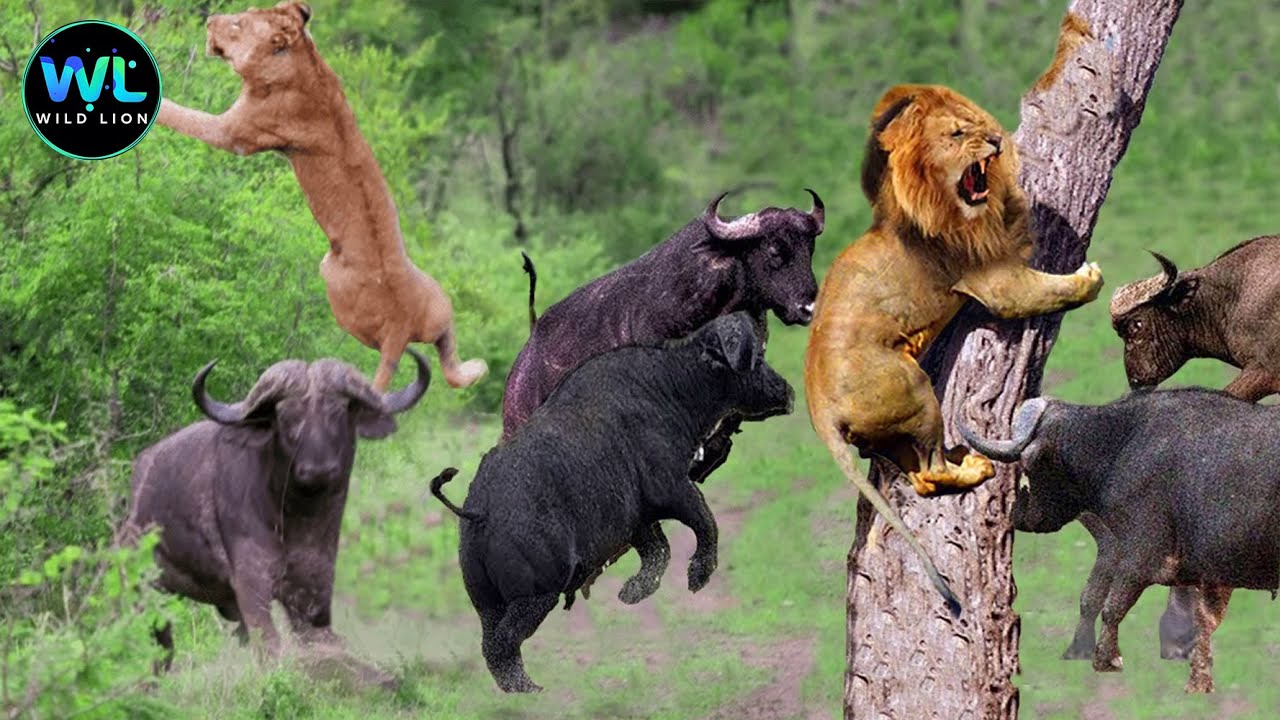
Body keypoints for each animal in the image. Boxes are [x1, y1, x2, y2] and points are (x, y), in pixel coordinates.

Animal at [432, 313, 794, 692]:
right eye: (757, 357)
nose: (788, 390)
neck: (672, 387)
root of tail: (479, 511)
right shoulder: (671, 486)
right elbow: (704, 522)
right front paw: (696, 580)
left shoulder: (635, 517)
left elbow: (657, 550)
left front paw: (630, 594)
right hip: (535, 595)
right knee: (502, 644)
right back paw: (533, 690)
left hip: (485, 603)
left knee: (490, 643)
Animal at [962, 389, 1280, 693]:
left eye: (1031, 469)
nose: (1022, 516)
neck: (1121, 444)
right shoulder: (1113, 553)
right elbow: (1091, 598)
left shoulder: (1140, 557)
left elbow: (1112, 606)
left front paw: (1106, 659)